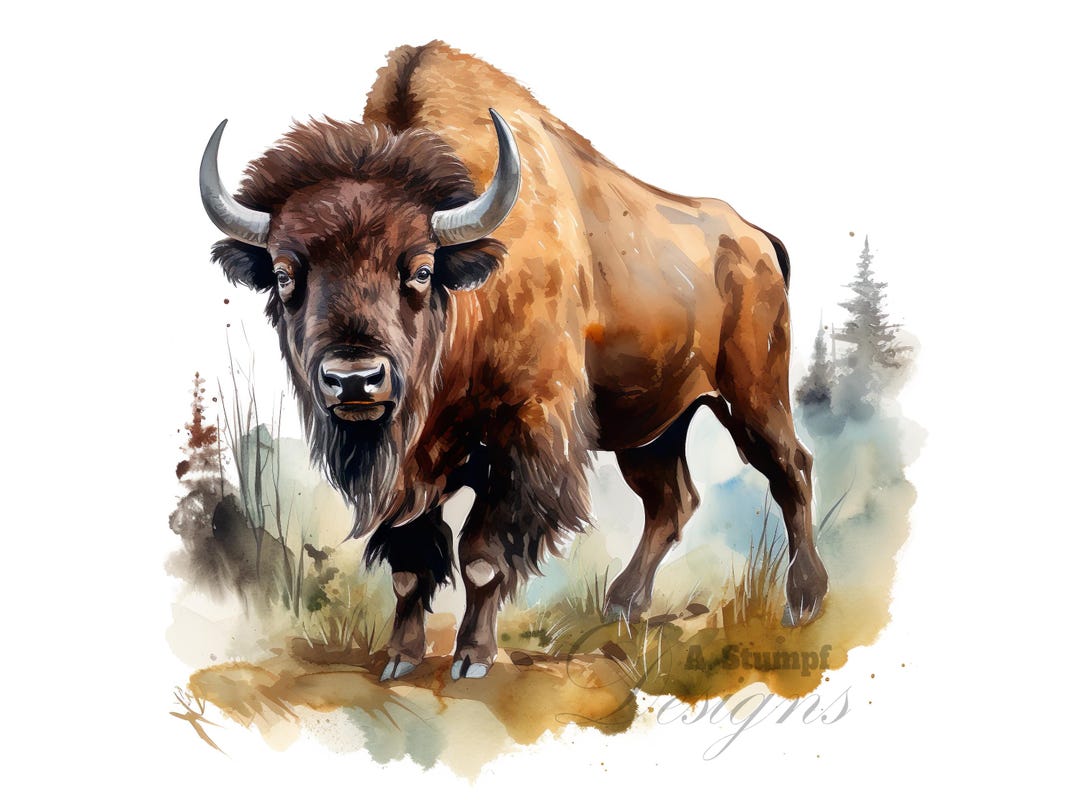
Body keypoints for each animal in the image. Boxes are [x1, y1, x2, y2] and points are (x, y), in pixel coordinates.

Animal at [199, 41, 828, 681]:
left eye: (421, 268)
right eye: (284, 275)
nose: (355, 381)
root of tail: (755, 238)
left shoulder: (525, 437)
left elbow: (482, 555)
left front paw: (473, 658)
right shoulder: (409, 469)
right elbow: (410, 566)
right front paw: (399, 659)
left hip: (751, 396)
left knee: (791, 469)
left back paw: (803, 601)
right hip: (651, 427)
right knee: (671, 502)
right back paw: (622, 606)